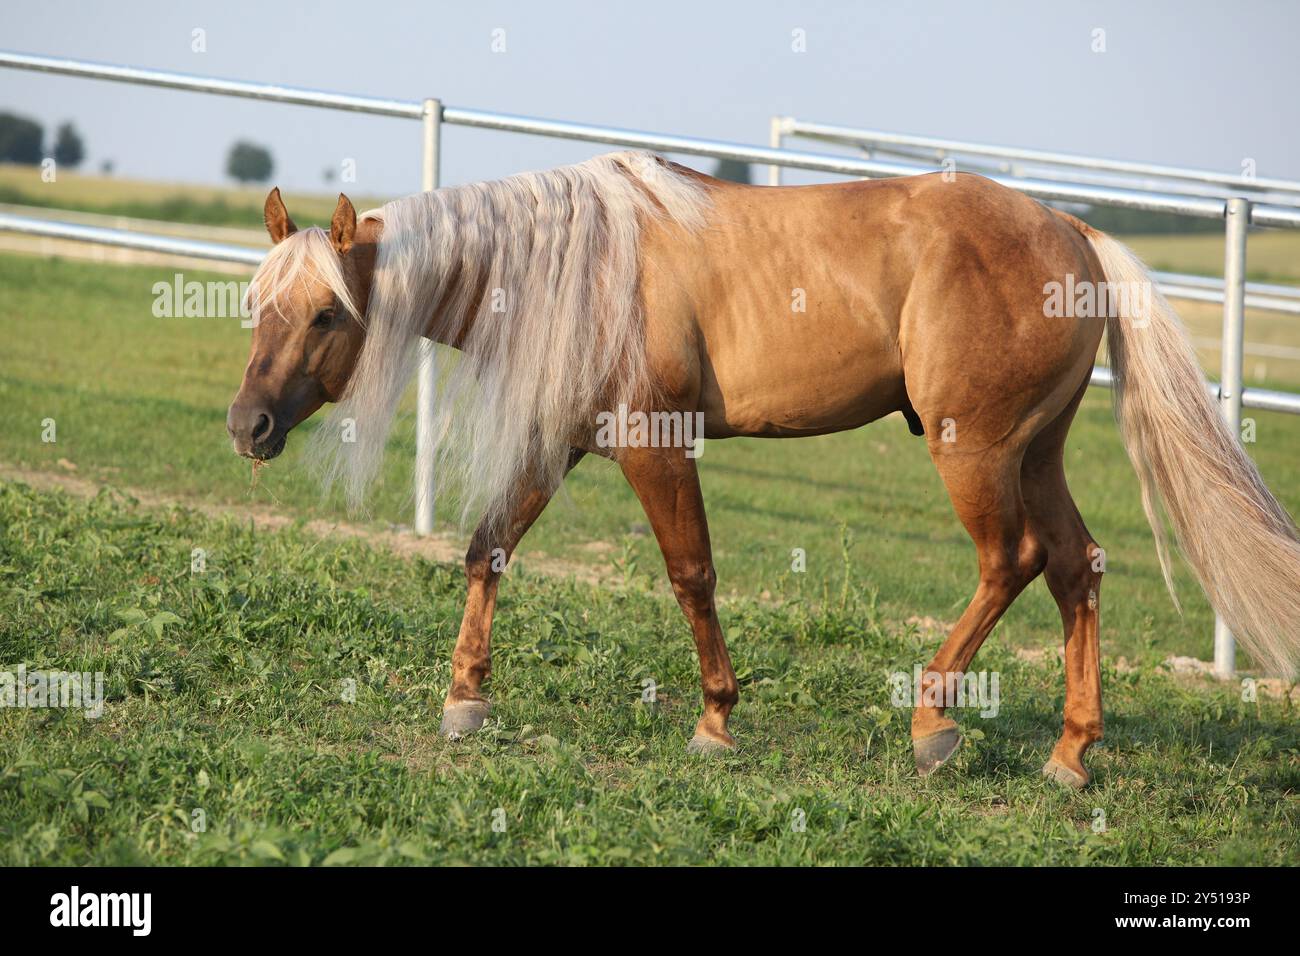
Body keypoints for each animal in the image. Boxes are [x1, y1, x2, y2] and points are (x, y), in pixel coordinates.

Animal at [226, 151, 1300, 789]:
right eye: (256, 304)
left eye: (323, 313)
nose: (249, 425)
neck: (580, 265)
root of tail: (1074, 231)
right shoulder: (558, 441)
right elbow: (487, 548)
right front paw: (465, 700)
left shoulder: (656, 446)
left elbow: (691, 574)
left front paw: (715, 721)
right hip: (1038, 451)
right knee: (1077, 567)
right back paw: (1070, 753)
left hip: (977, 451)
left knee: (1014, 561)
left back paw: (932, 725)